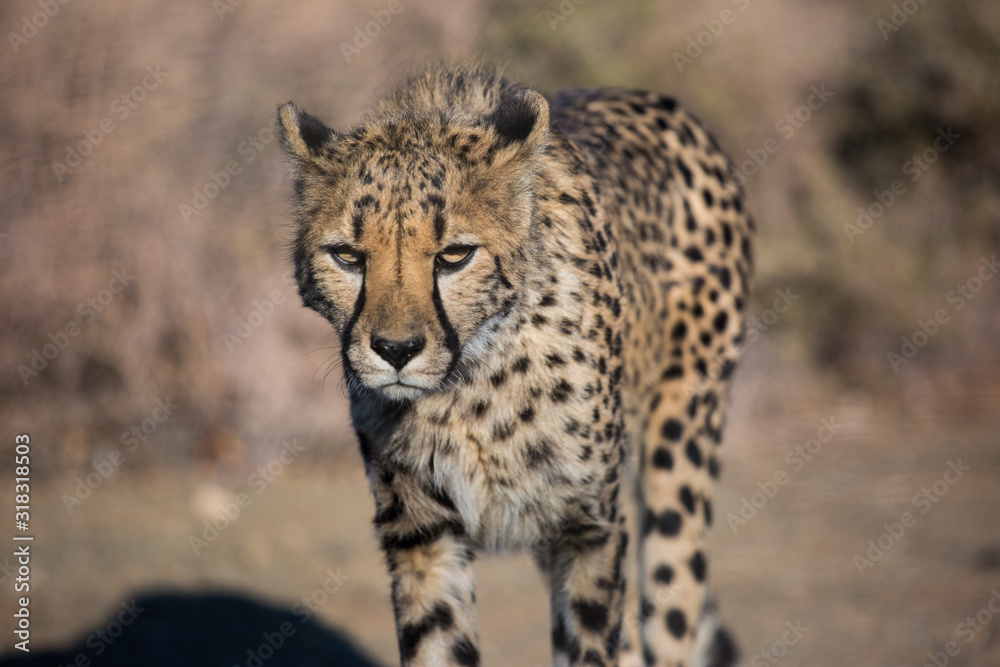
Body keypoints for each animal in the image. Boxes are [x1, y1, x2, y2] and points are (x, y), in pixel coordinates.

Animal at [276, 63, 753, 667]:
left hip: (680, 449)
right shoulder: (423, 536)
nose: (396, 351)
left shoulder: (588, 529)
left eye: (454, 255)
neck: (468, 386)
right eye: (347, 256)